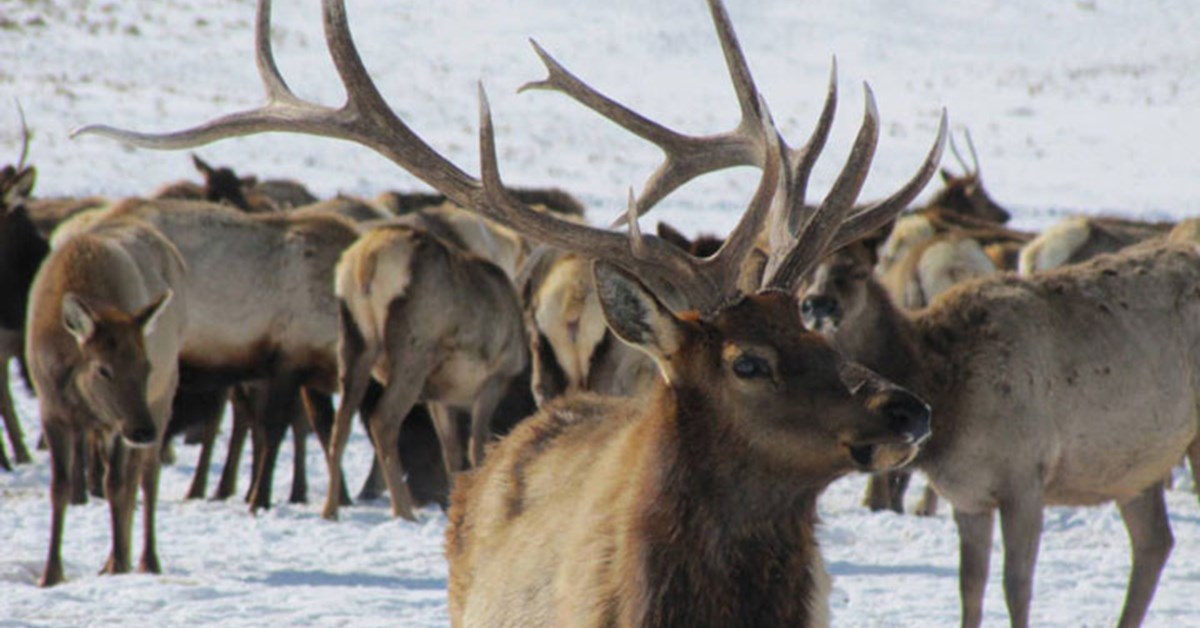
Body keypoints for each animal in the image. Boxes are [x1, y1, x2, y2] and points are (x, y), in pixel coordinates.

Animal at [26, 205, 185, 587]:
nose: (143, 431)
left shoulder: (118, 422)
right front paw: (51, 573)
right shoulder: (52, 411)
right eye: (104, 370)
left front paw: (119, 565)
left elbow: (116, 485)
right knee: (132, 478)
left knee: (146, 477)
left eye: (146, 366)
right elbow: (60, 488)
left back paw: (145, 559)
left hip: (162, 397)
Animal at [800, 233, 1200, 626]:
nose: (816, 306)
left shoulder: (1025, 479)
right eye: (806, 275)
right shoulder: (969, 496)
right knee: (1155, 542)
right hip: (1135, 465)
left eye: (857, 270)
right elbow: (970, 587)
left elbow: (1016, 587)